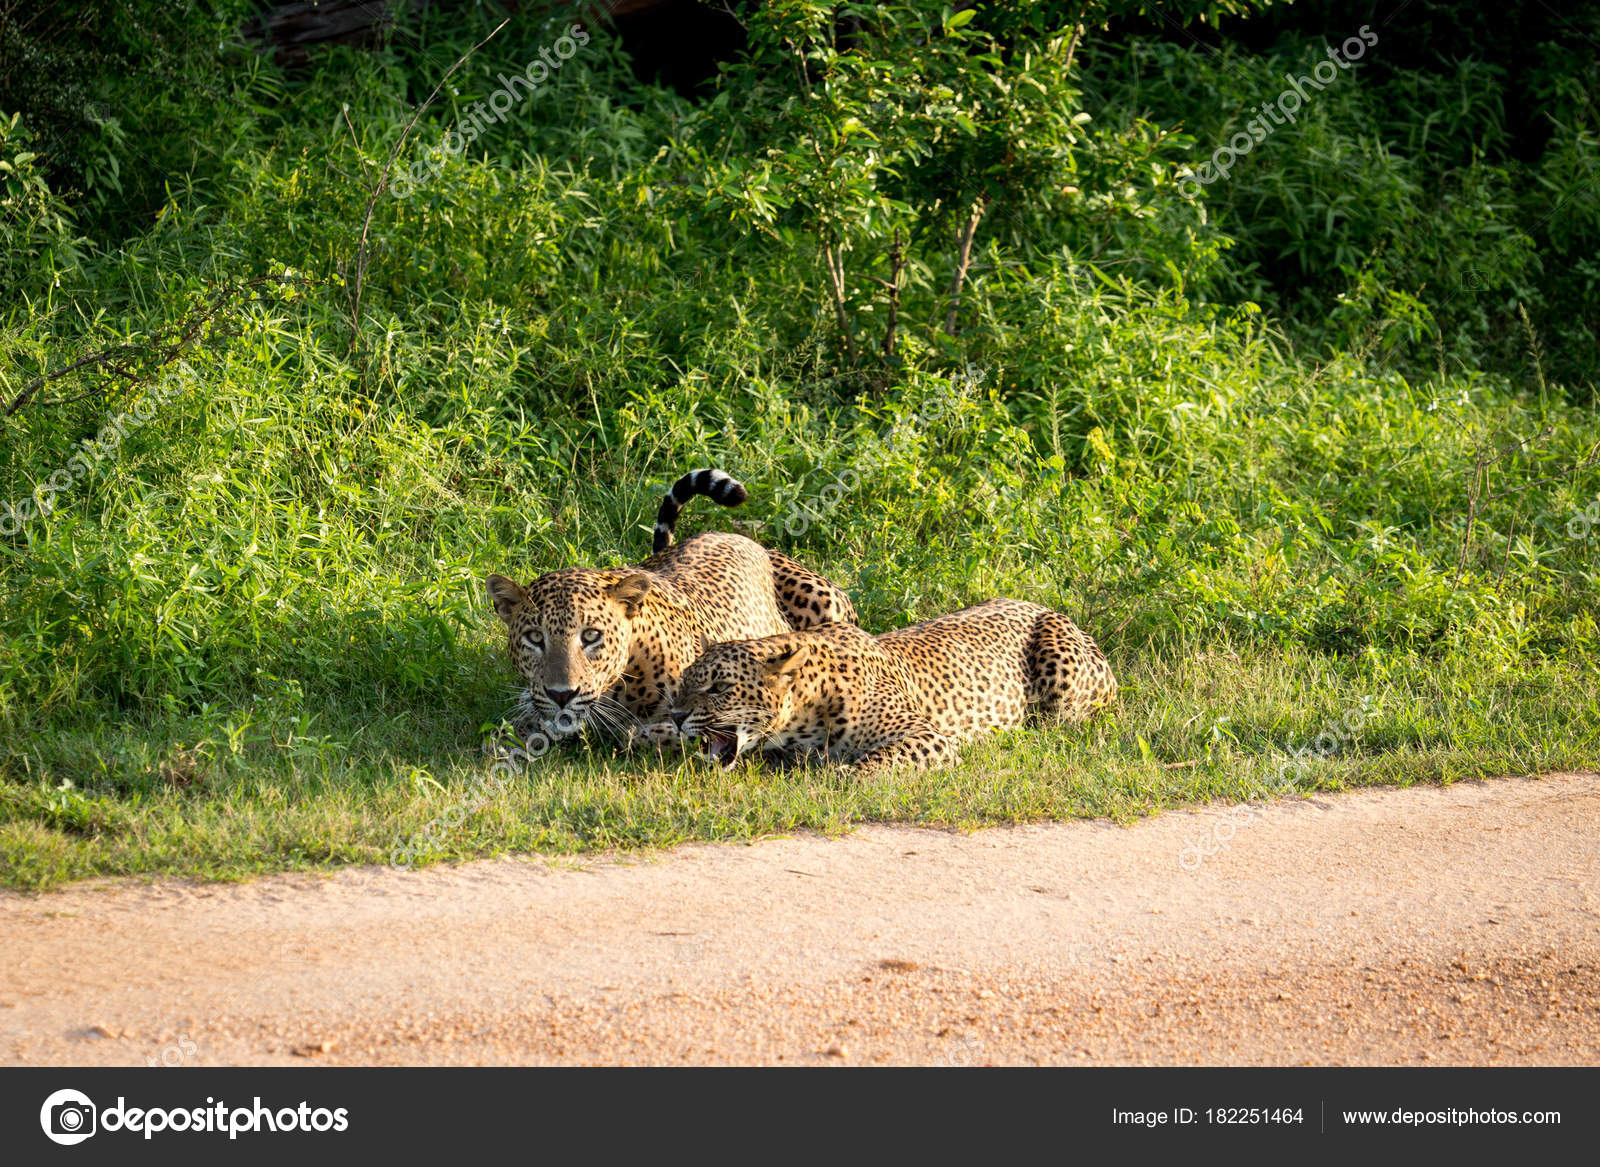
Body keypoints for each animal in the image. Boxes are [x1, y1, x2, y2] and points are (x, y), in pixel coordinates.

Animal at [667, 598, 1117, 774]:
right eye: (686, 682)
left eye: (719, 687)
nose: (675, 716)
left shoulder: (929, 736)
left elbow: (881, 759)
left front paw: (844, 774)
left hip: (1062, 674)